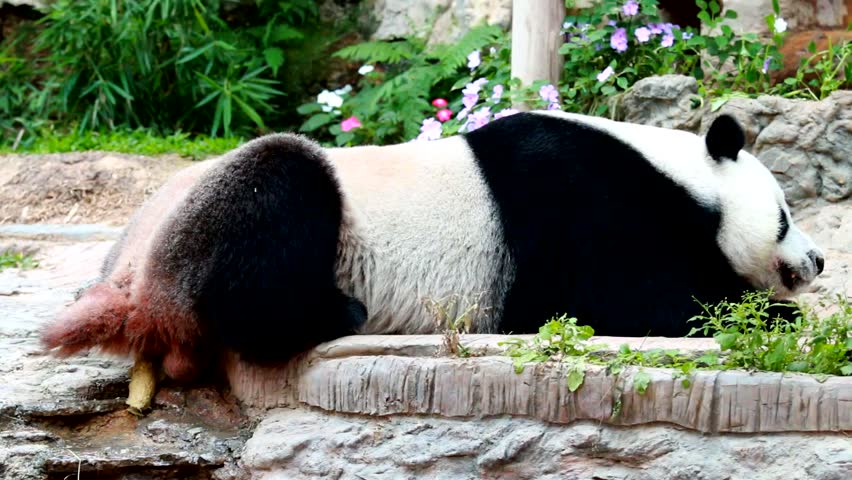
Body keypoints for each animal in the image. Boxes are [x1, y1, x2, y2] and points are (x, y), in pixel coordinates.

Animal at [40, 111, 825, 382]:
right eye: (786, 216)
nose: (818, 260)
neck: (678, 172)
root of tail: (127, 279)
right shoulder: (573, 201)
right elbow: (614, 297)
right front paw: (768, 312)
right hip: (208, 224)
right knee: (280, 185)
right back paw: (336, 312)